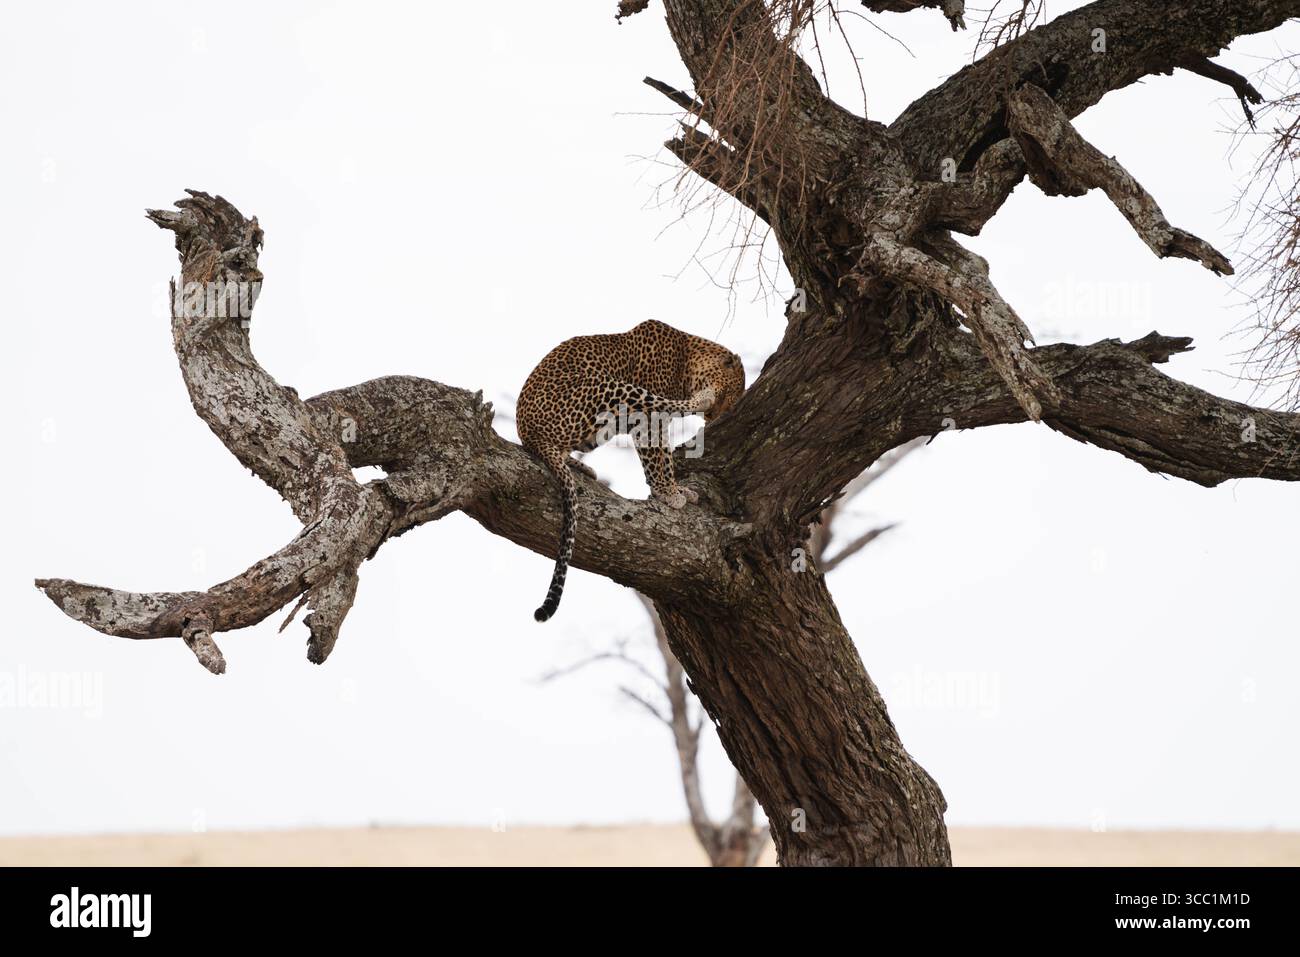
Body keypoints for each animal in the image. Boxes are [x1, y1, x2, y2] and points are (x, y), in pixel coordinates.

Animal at [517, 319, 746, 622]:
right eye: (730, 396)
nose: (713, 419)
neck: (688, 361)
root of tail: (528, 434)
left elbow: (663, 457)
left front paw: (676, 489)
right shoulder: (649, 419)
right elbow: (658, 456)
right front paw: (668, 492)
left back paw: (580, 466)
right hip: (608, 387)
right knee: (661, 402)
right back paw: (701, 400)